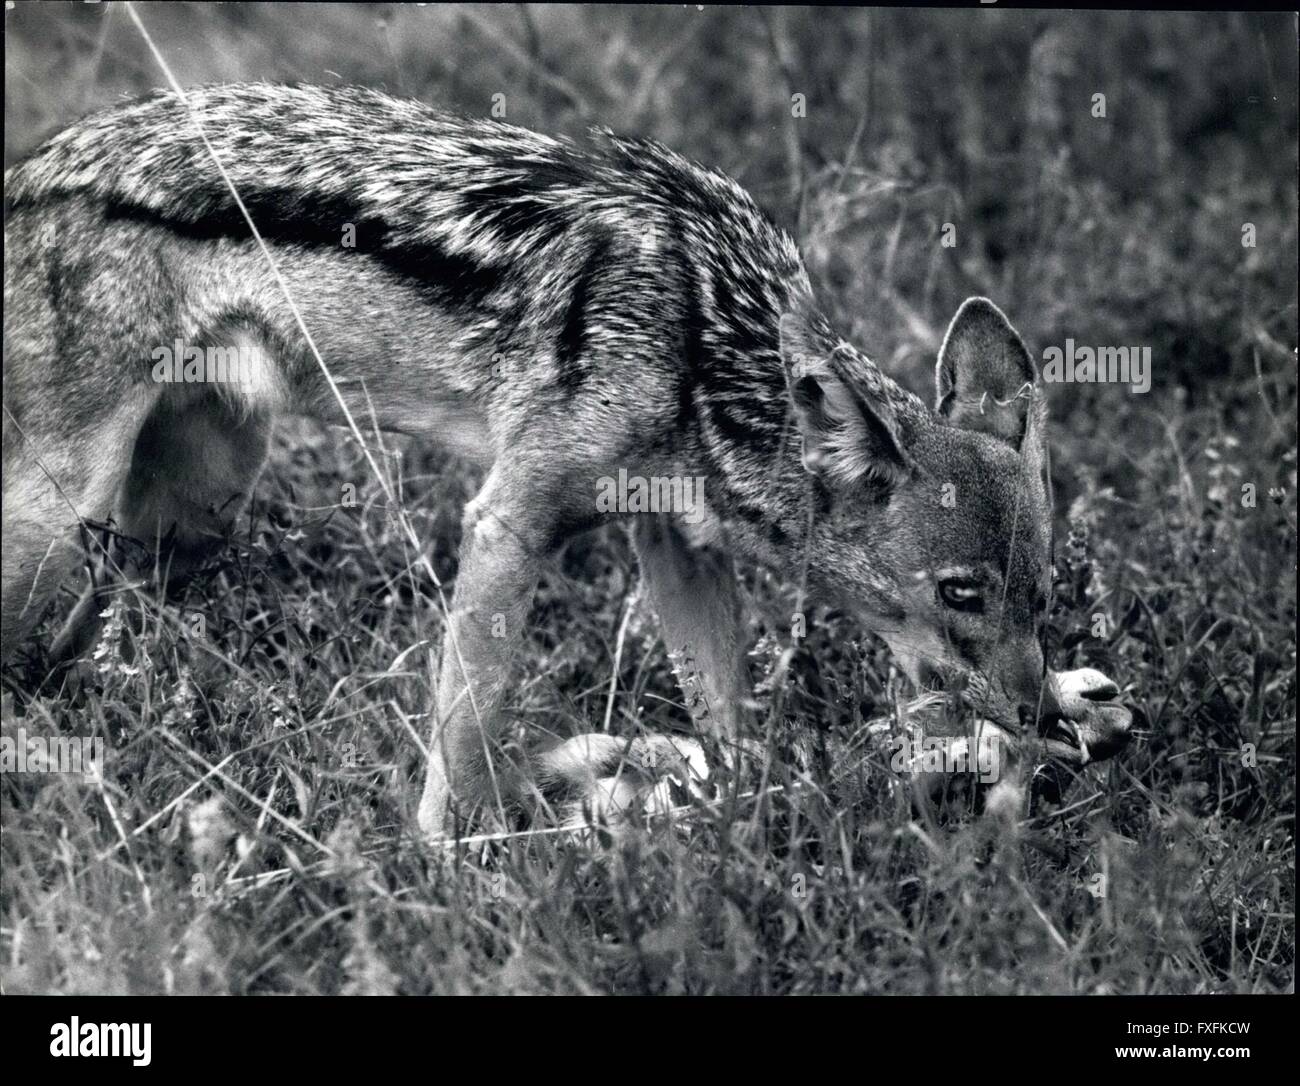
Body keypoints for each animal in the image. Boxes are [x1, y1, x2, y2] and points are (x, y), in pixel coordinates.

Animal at [2, 83, 1130, 838]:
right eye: (960, 592)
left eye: (1041, 594)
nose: (1038, 715)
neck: (700, 344)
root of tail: (28, 171)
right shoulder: (509, 521)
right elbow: (464, 739)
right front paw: (452, 866)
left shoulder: (673, 542)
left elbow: (735, 725)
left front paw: (744, 813)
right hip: (63, 522)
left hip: (183, 520)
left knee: (84, 656)